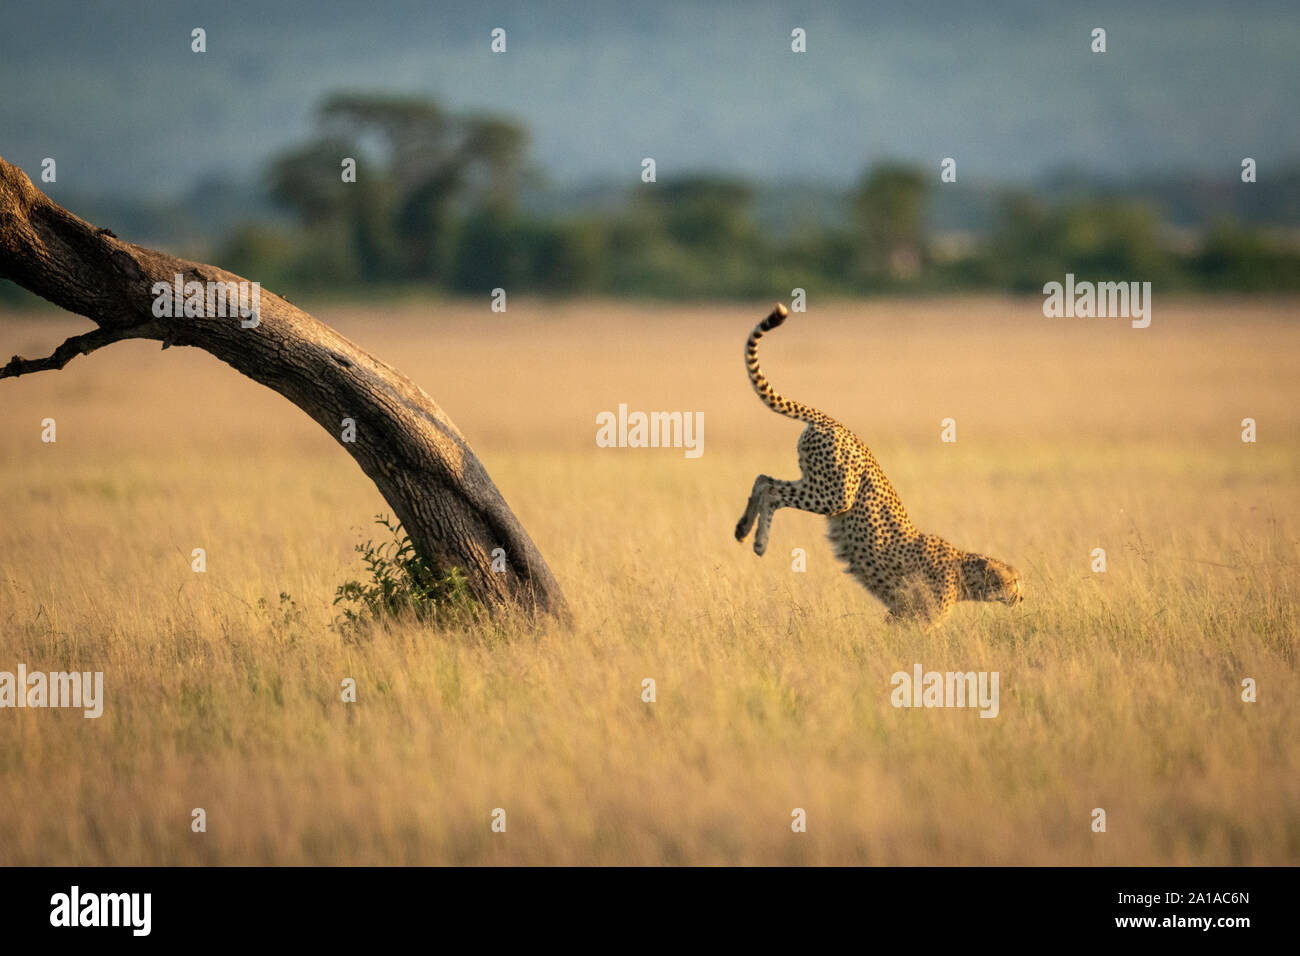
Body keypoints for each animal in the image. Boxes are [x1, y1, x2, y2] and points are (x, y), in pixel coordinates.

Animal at [734, 303, 1023, 625]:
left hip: (817, 480)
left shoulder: (897, 612)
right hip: (836, 495)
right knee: (773, 492)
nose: (1022, 597)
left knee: (763, 479)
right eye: (1014, 581)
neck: (963, 570)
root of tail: (836, 422)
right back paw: (759, 542)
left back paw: (743, 530)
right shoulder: (917, 618)